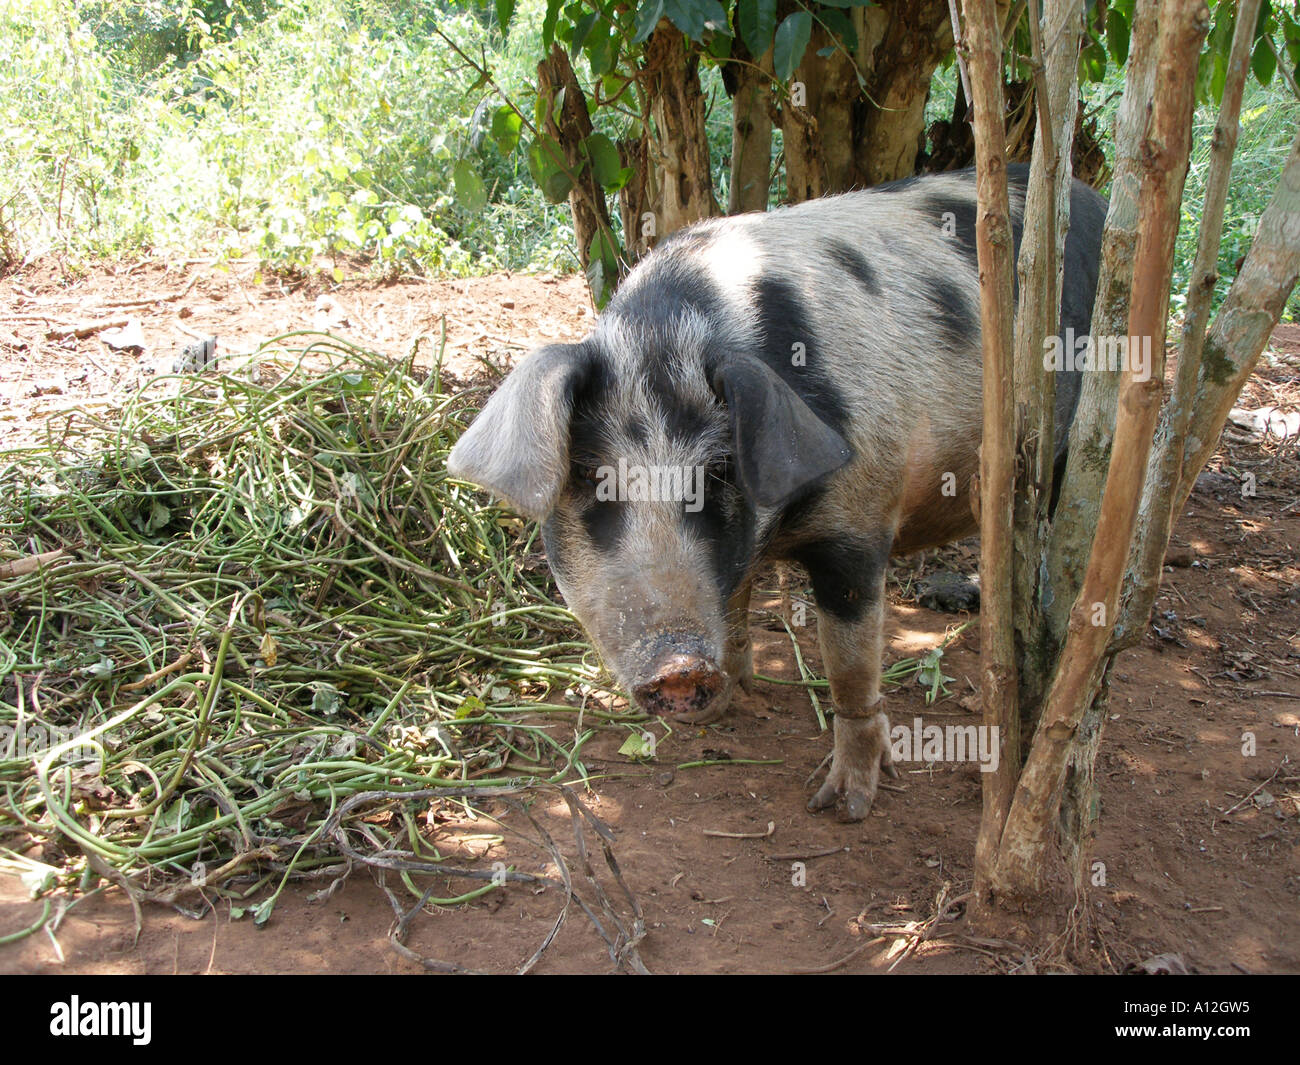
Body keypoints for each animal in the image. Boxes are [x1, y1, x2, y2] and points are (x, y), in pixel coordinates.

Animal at [448, 165, 1107, 821]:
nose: (679, 666)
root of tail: (1092, 197)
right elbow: (736, 604)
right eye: (588, 473)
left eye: (718, 471)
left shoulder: (861, 521)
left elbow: (849, 664)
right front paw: (730, 703)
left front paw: (842, 806)